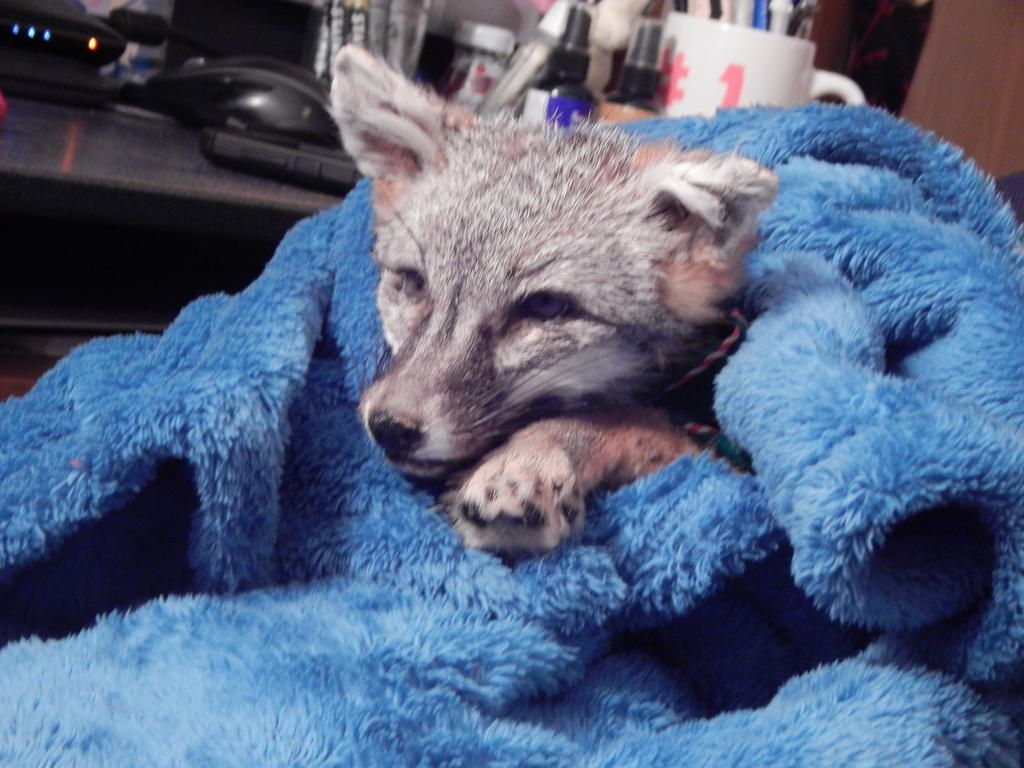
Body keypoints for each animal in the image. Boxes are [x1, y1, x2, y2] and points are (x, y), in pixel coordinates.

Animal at [330, 46, 778, 555]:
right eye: (412, 281)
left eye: (543, 308)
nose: (390, 426)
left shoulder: (721, 459)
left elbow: (617, 418)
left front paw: (528, 461)